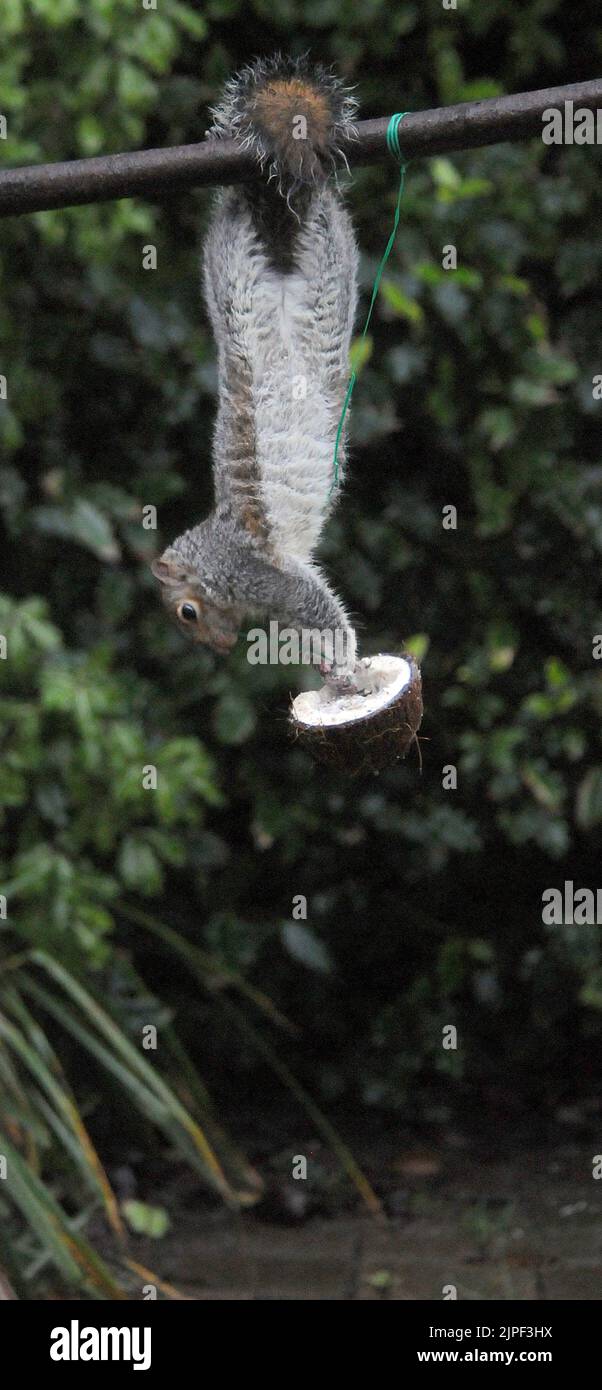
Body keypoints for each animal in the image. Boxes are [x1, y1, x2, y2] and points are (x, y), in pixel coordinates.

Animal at [152, 54, 361, 689]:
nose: (221, 650)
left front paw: (348, 665)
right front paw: (322, 665)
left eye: (187, 612)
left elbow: (317, 603)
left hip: (320, 264)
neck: (215, 552)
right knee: (252, 220)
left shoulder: (261, 575)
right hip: (250, 261)